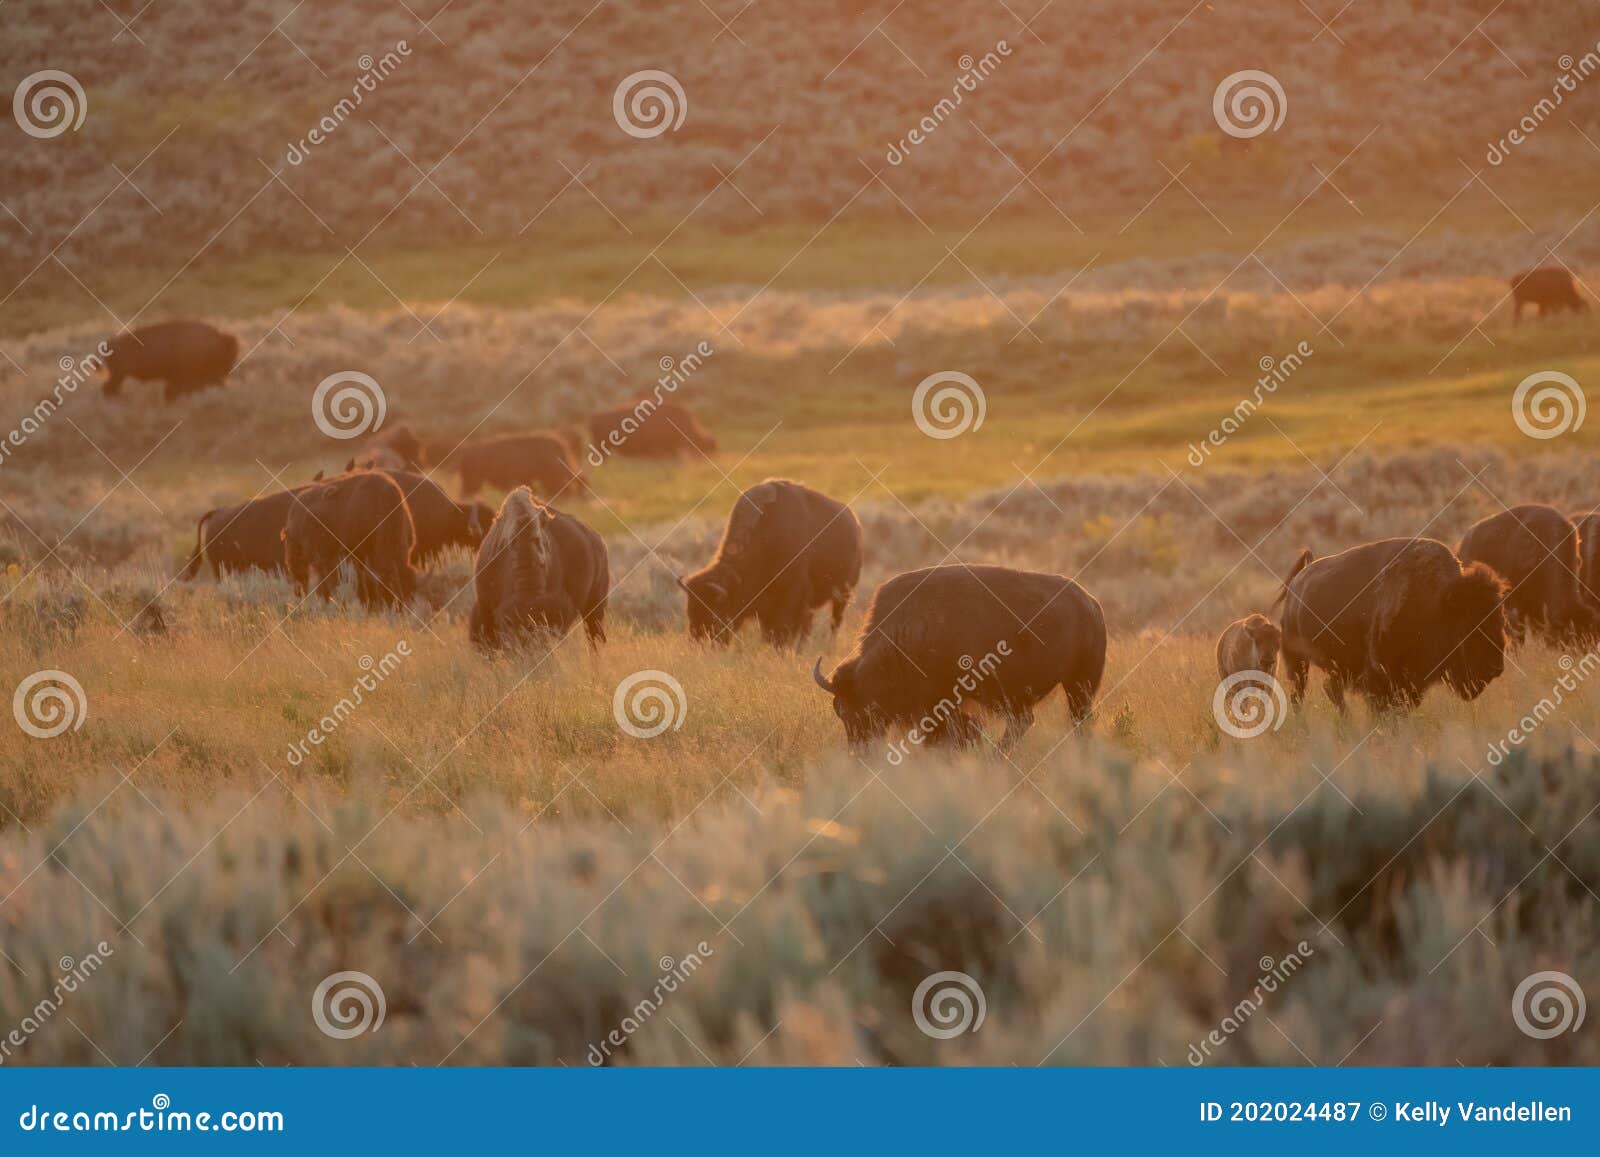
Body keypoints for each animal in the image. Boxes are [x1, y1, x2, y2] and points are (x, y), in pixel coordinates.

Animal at [102, 320, 240, 401]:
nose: (227, 371)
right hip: (118, 376)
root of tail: (110, 343)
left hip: (119, 376)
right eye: (227, 357)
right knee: (108, 389)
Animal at [680, 479, 862, 648]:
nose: (698, 643)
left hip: (842, 595)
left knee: (834, 623)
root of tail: (855, 523)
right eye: (689, 611)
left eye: (714, 613)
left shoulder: (792, 598)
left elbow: (783, 631)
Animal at [813, 564, 1106, 750]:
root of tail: (1091, 604)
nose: (860, 751)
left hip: (1079, 685)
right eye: (840, 712)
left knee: (1076, 721)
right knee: (1023, 724)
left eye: (867, 709)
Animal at [1277, 538, 1509, 711]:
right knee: (1300, 695)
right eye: (1469, 622)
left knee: (1331, 690)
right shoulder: (1381, 675)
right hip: (1297, 661)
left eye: (1499, 618)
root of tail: (1297, 582)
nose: (1495, 668)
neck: (1437, 602)